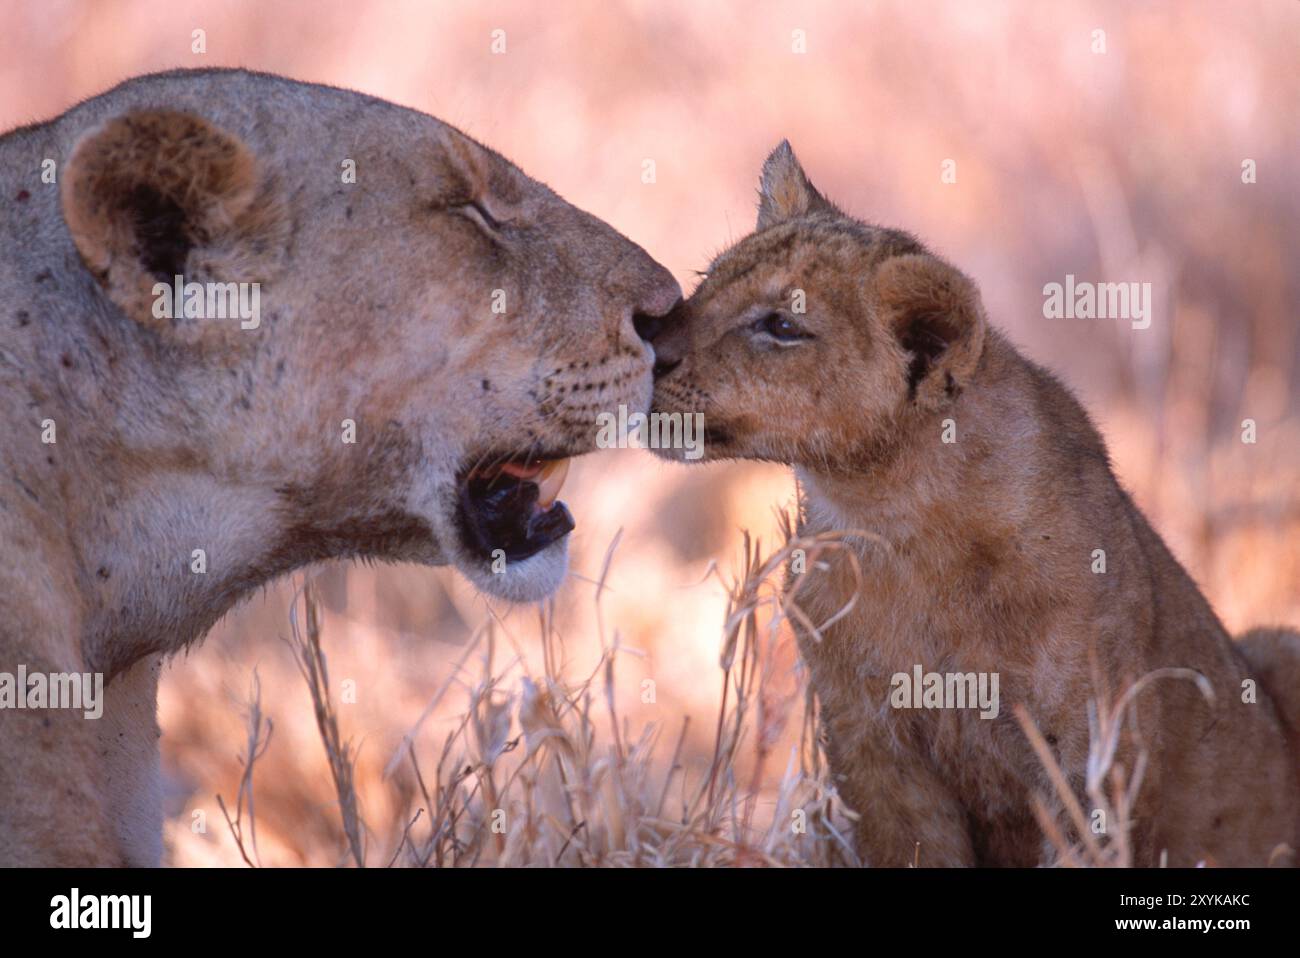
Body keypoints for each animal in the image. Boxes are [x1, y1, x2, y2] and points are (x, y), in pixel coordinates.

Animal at [646, 141, 1299, 866]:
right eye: (707, 279)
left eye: (782, 326)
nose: (646, 345)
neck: (893, 516)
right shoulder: (869, 737)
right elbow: (911, 847)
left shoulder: (1094, 736)